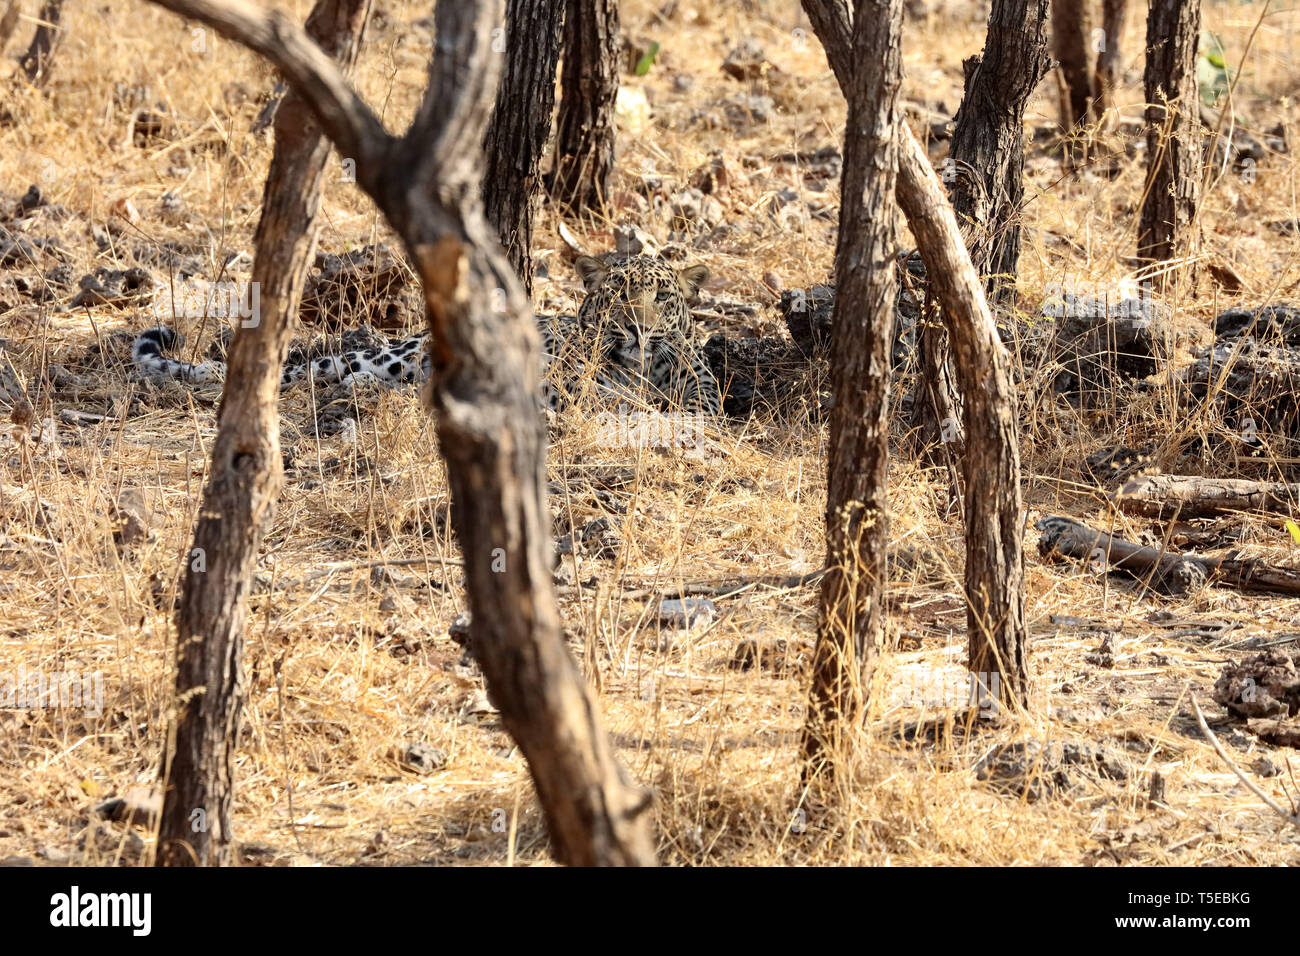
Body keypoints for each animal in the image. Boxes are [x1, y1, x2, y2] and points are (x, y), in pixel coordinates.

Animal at [130, 253, 720, 416]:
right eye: (618, 295)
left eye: (663, 298)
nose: (638, 327)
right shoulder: (570, 383)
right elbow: (594, 396)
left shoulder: (703, 393)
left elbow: (692, 402)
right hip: (399, 354)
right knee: (340, 369)